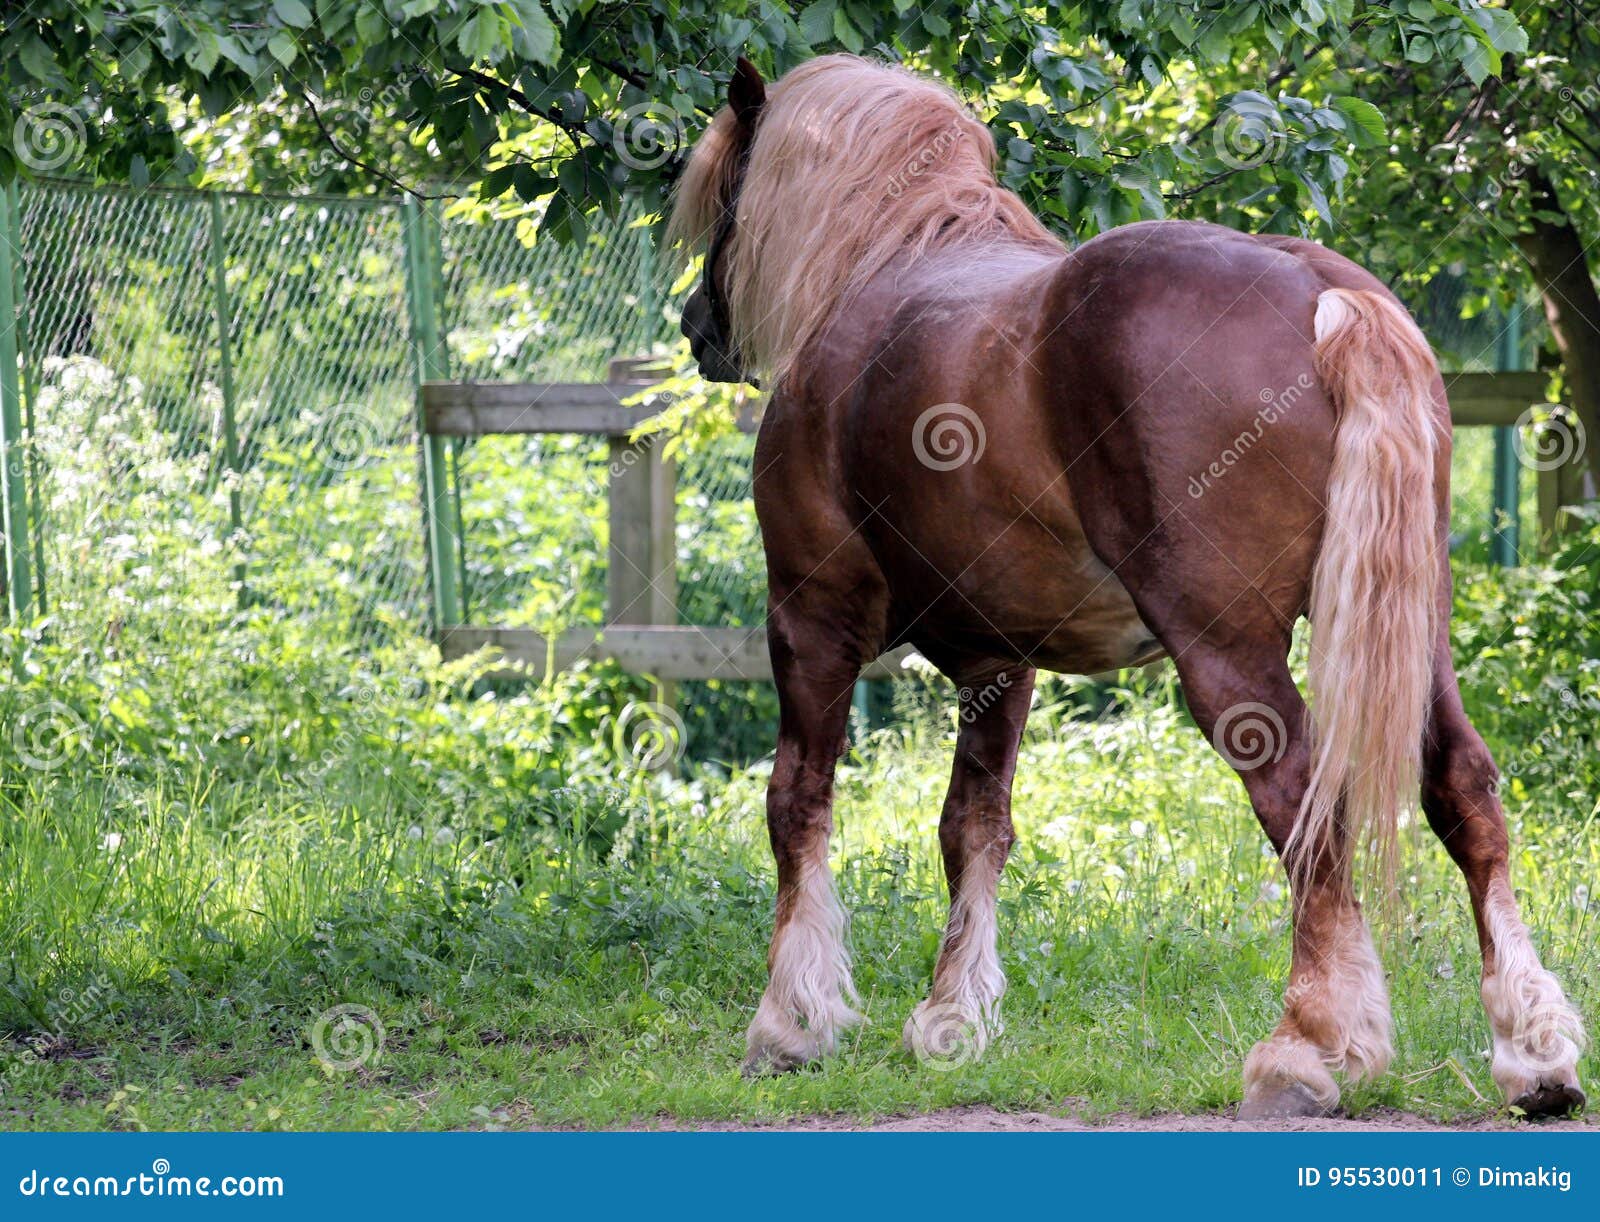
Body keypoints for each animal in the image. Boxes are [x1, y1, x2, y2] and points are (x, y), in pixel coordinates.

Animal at [665, 53, 1585, 1119]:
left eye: (725, 195)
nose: (698, 327)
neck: (884, 265)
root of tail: (1321, 293)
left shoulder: (809, 623)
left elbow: (797, 805)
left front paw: (793, 1022)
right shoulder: (996, 659)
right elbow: (973, 826)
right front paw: (951, 1021)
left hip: (1225, 652)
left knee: (1304, 804)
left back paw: (1307, 1048)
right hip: (1414, 627)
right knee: (1464, 789)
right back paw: (1534, 1053)